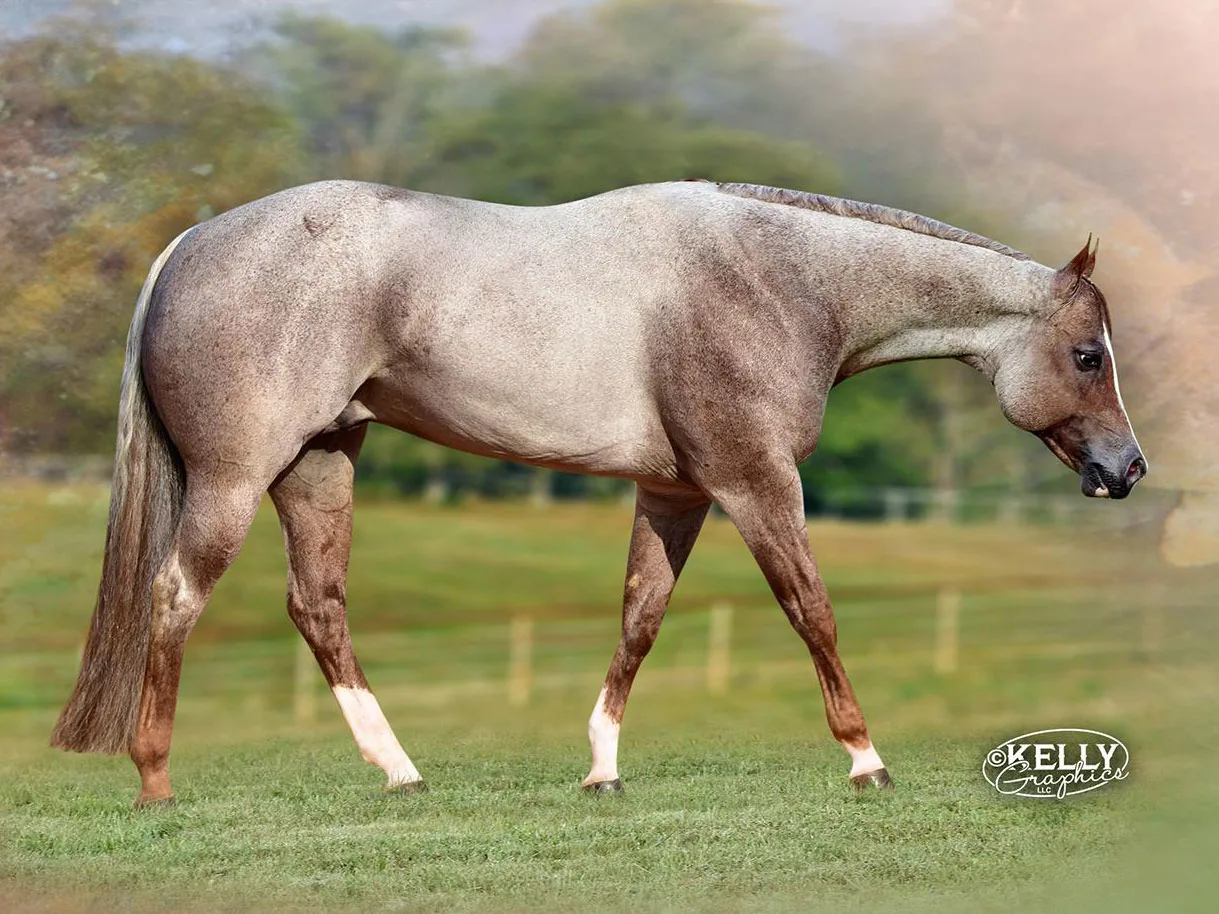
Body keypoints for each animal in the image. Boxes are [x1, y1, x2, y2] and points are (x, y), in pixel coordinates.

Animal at [51, 179, 1146, 805]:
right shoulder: (755, 483)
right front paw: (865, 758)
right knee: (175, 595)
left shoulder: (676, 495)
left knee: (317, 607)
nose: (1125, 468)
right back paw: (155, 778)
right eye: (1087, 356)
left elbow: (638, 619)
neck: (778, 277)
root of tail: (192, 242)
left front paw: (601, 767)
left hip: (319, 465)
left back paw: (400, 771)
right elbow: (812, 610)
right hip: (237, 480)